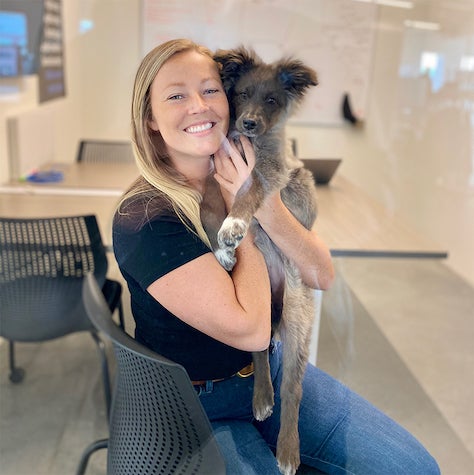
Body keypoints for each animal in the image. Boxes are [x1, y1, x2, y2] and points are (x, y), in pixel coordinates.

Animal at [202, 47, 320, 475]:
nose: (248, 122)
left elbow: (249, 188)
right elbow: (209, 205)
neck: (246, 141)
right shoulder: (213, 171)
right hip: (257, 312)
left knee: (294, 390)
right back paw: (262, 398)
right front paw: (222, 245)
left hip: (299, 319)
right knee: (257, 351)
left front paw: (236, 223)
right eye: (240, 93)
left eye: (271, 99)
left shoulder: (275, 169)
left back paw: (287, 451)